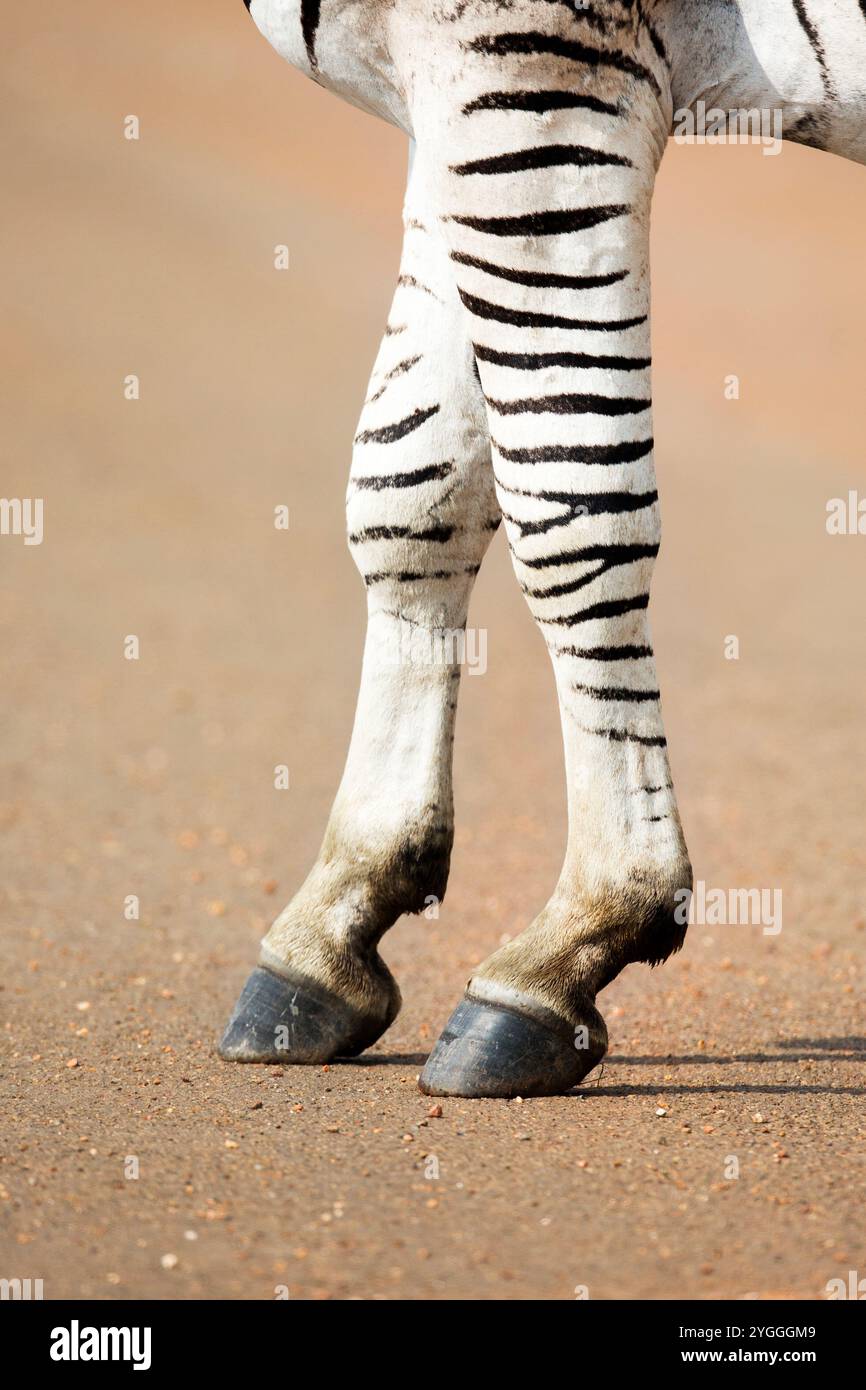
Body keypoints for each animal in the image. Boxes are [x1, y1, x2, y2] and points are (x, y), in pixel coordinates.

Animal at [219, 0, 866, 1097]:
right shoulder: (446, 107)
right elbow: (408, 489)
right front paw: (337, 920)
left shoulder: (536, 78)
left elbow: (573, 502)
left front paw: (585, 933)